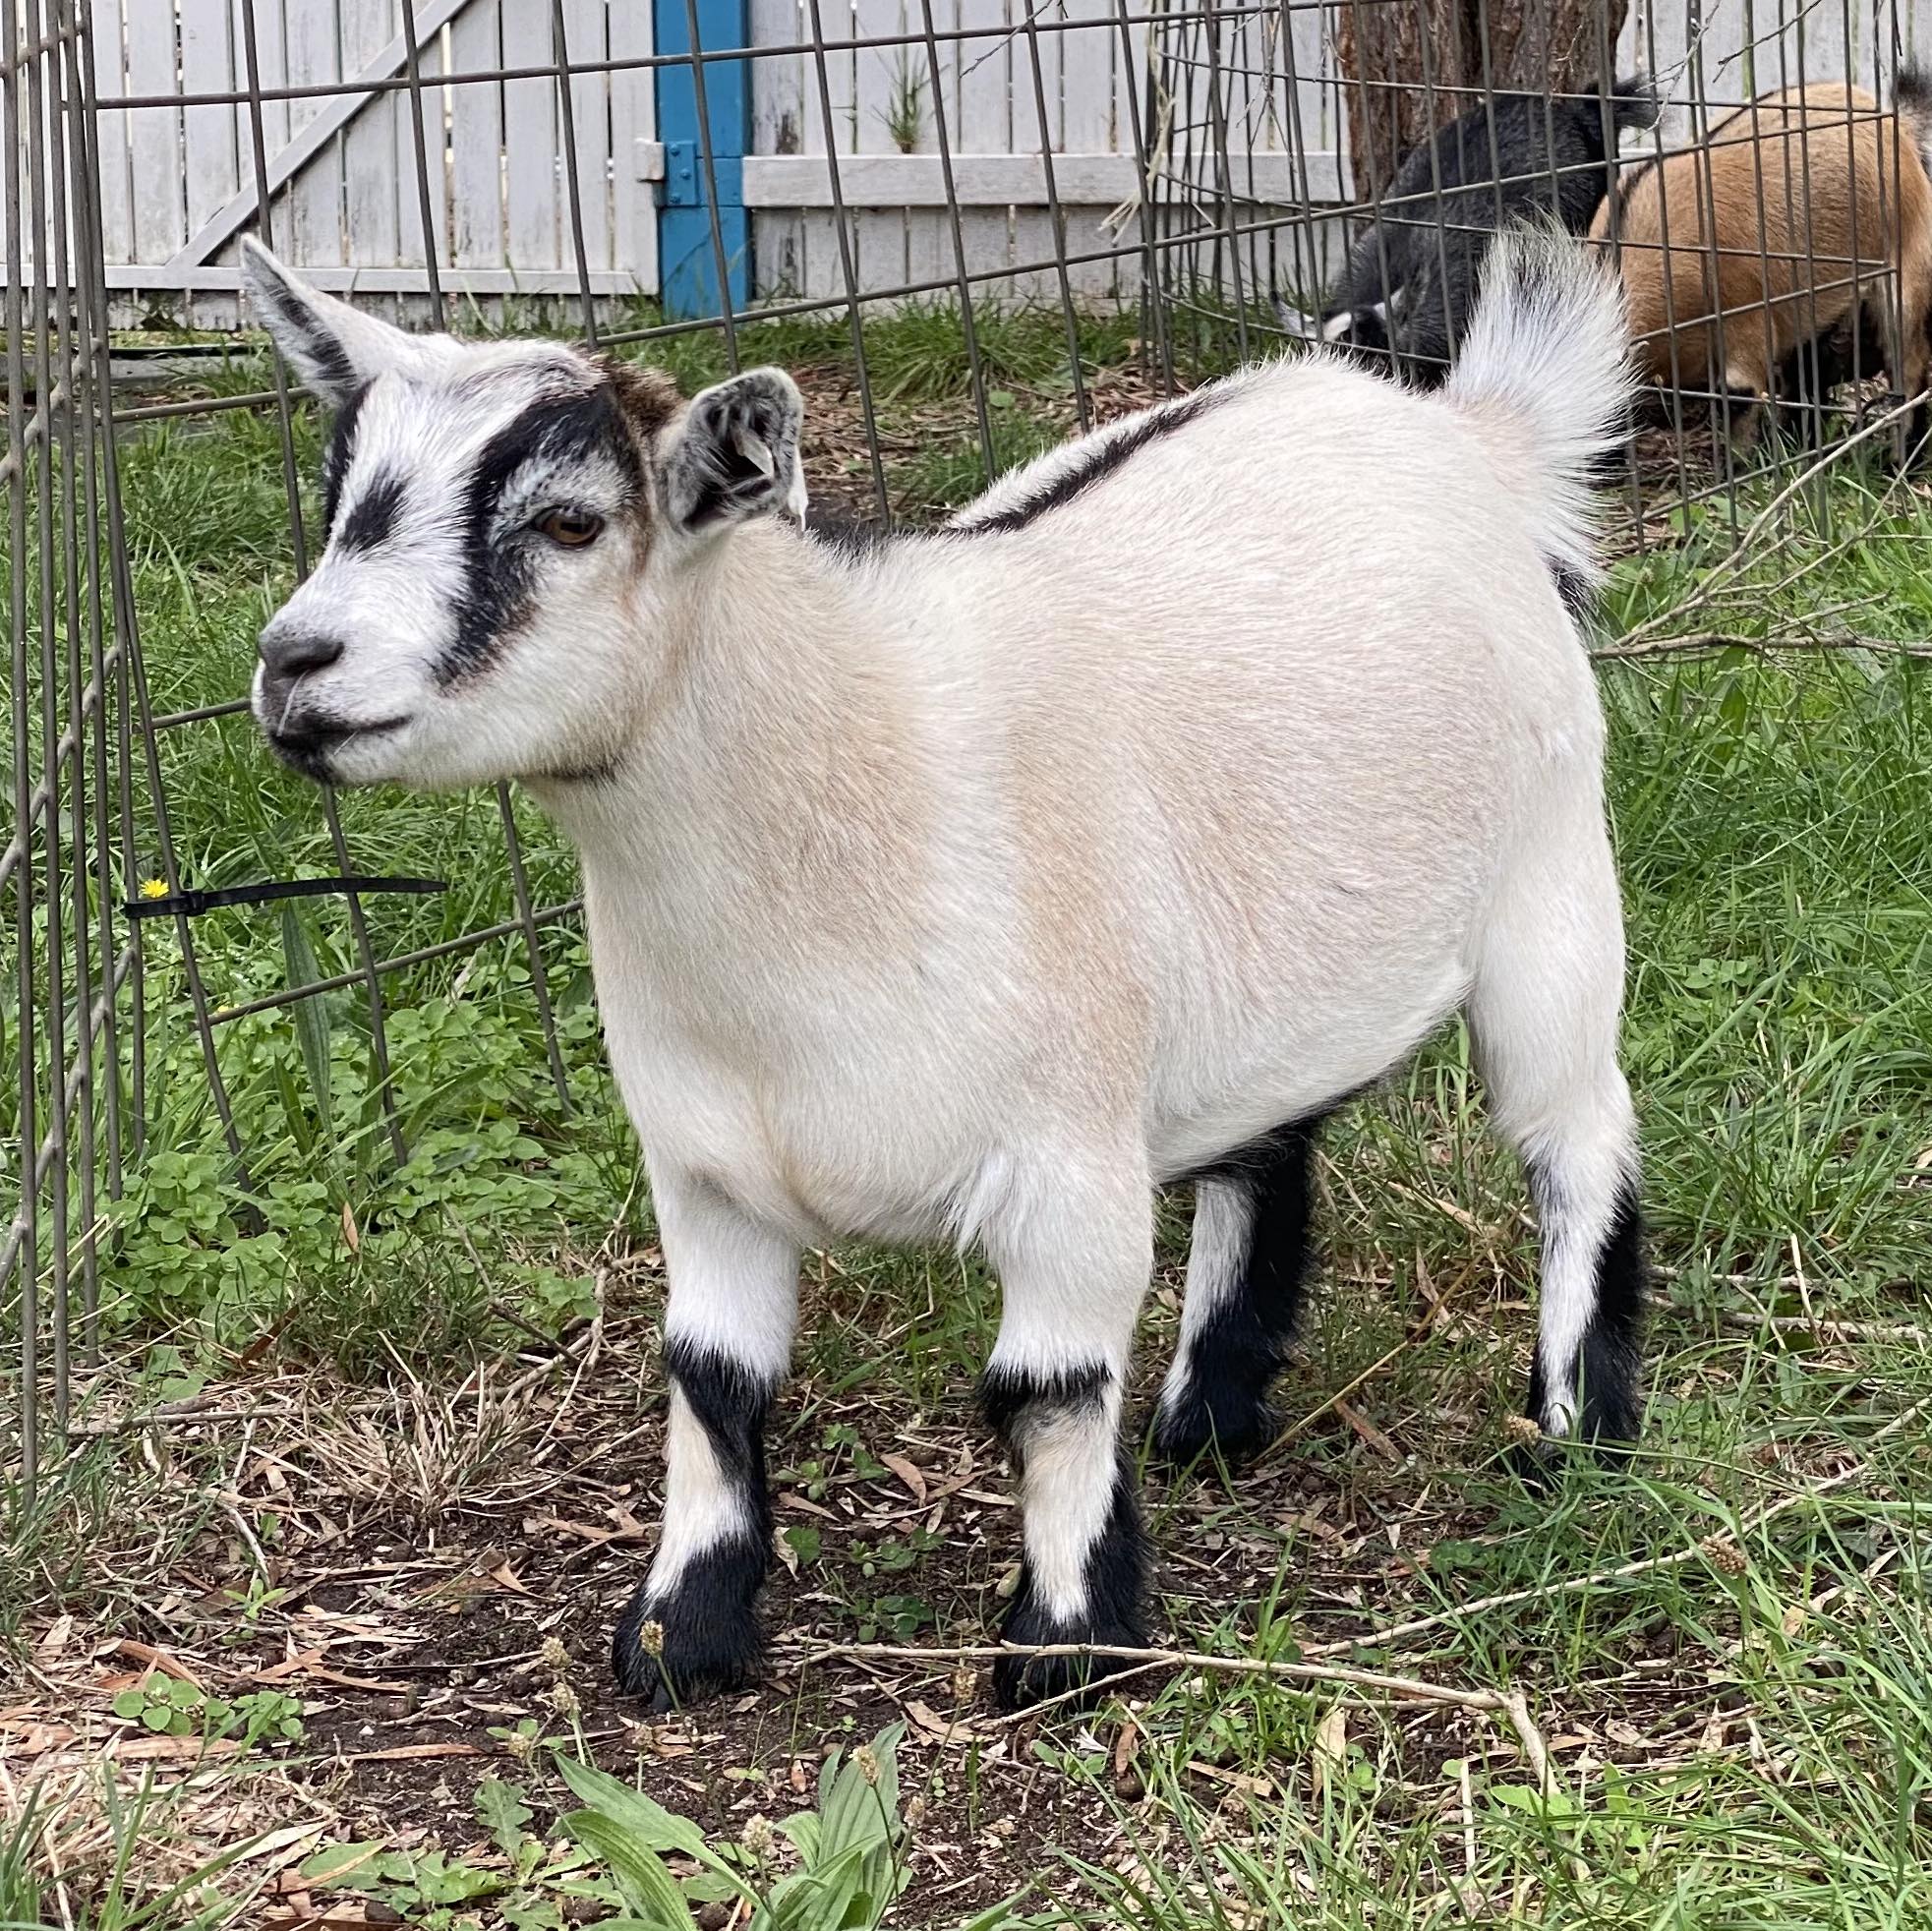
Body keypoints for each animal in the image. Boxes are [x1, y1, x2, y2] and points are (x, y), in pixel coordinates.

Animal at [241, 228, 1646, 1714]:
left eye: (569, 523)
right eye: (342, 498)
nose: (294, 665)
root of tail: (1465, 431)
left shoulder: (1068, 1161)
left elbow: (1045, 1388)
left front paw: (1066, 1643)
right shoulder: (698, 1157)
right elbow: (710, 1378)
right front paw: (683, 1632)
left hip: (1552, 879)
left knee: (1576, 1139)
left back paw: (1576, 1432)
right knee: (1268, 1137)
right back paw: (1208, 1416)